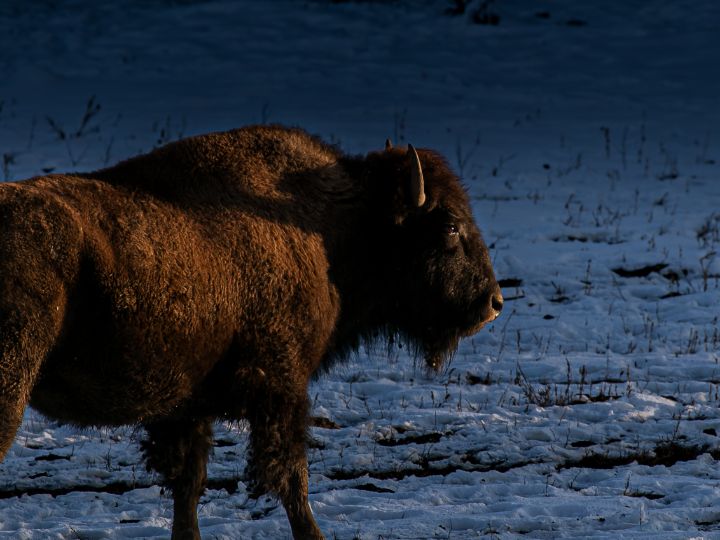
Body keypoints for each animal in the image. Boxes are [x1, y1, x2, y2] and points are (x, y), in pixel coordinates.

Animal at [0, 125, 502, 539]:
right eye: (449, 226)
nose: (493, 303)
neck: (330, 226)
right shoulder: (280, 388)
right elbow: (292, 481)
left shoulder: (189, 407)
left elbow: (188, 488)